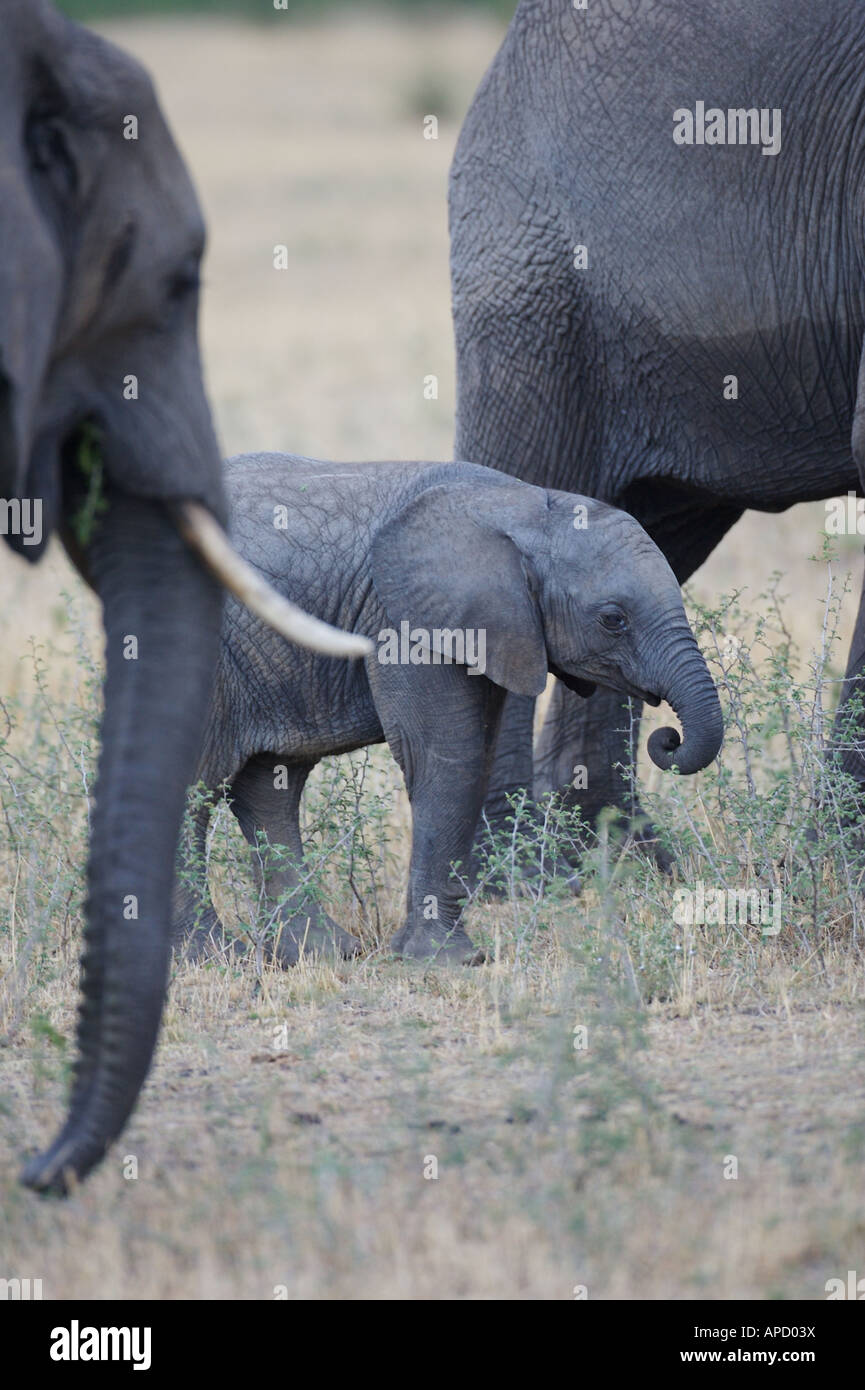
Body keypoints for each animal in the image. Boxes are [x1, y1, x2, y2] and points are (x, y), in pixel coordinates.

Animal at [173, 453, 723, 968]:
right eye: (613, 619)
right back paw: (212, 957)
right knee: (196, 786)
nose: (667, 738)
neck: (526, 507)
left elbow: (472, 752)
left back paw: (322, 954)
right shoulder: (403, 622)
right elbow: (447, 758)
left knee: (271, 788)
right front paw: (451, 962)